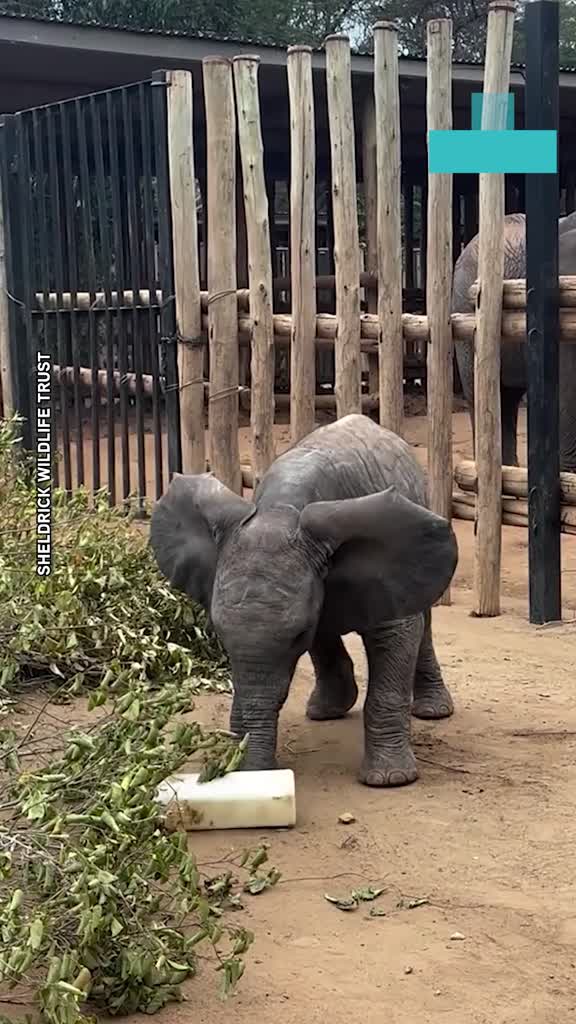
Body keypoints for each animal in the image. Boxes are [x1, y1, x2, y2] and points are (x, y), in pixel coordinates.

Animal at [150, 414, 458, 788]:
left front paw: (390, 780)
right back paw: (326, 712)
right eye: (220, 637)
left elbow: (395, 635)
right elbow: (322, 632)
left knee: (421, 621)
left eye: (296, 636)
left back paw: (433, 711)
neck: (280, 510)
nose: (247, 772)